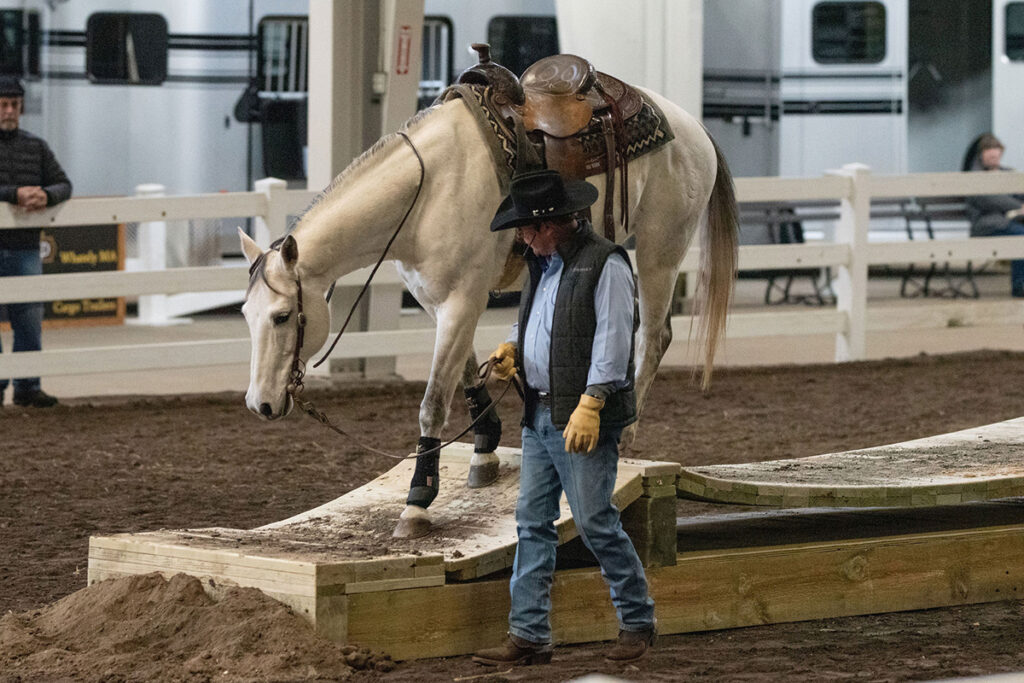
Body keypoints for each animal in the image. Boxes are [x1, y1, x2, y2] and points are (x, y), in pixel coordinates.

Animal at [239, 77, 738, 539]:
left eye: (282, 317)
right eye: (246, 316)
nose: (259, 404)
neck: (426, 191)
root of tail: (692, 126)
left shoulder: (462, 299)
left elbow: (433, 403)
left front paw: (417, 501)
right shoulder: (438, 300)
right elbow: (466, 372)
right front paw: (485, 449)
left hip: (660, 253)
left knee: (652, 337)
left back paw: (628, 430)